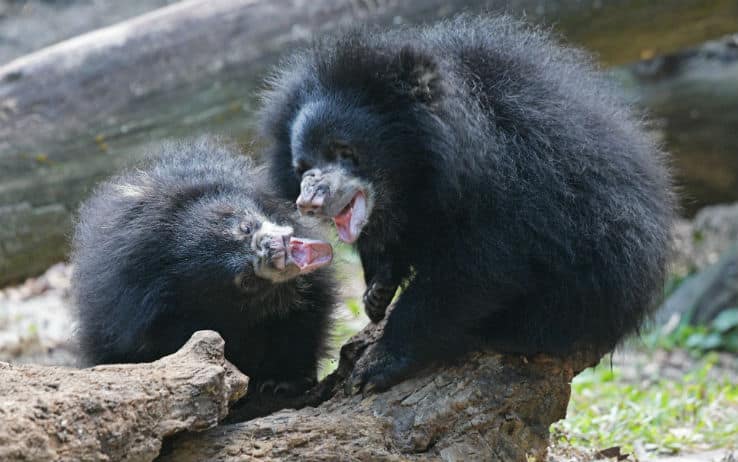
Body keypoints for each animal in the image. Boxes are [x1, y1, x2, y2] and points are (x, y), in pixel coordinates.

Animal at [259, 15, 676, 393]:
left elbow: (476, 268)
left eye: (345, 151)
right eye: (302, 167)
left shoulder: (512, 185)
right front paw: (377, 292)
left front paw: (376, 365)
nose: (309, 199)